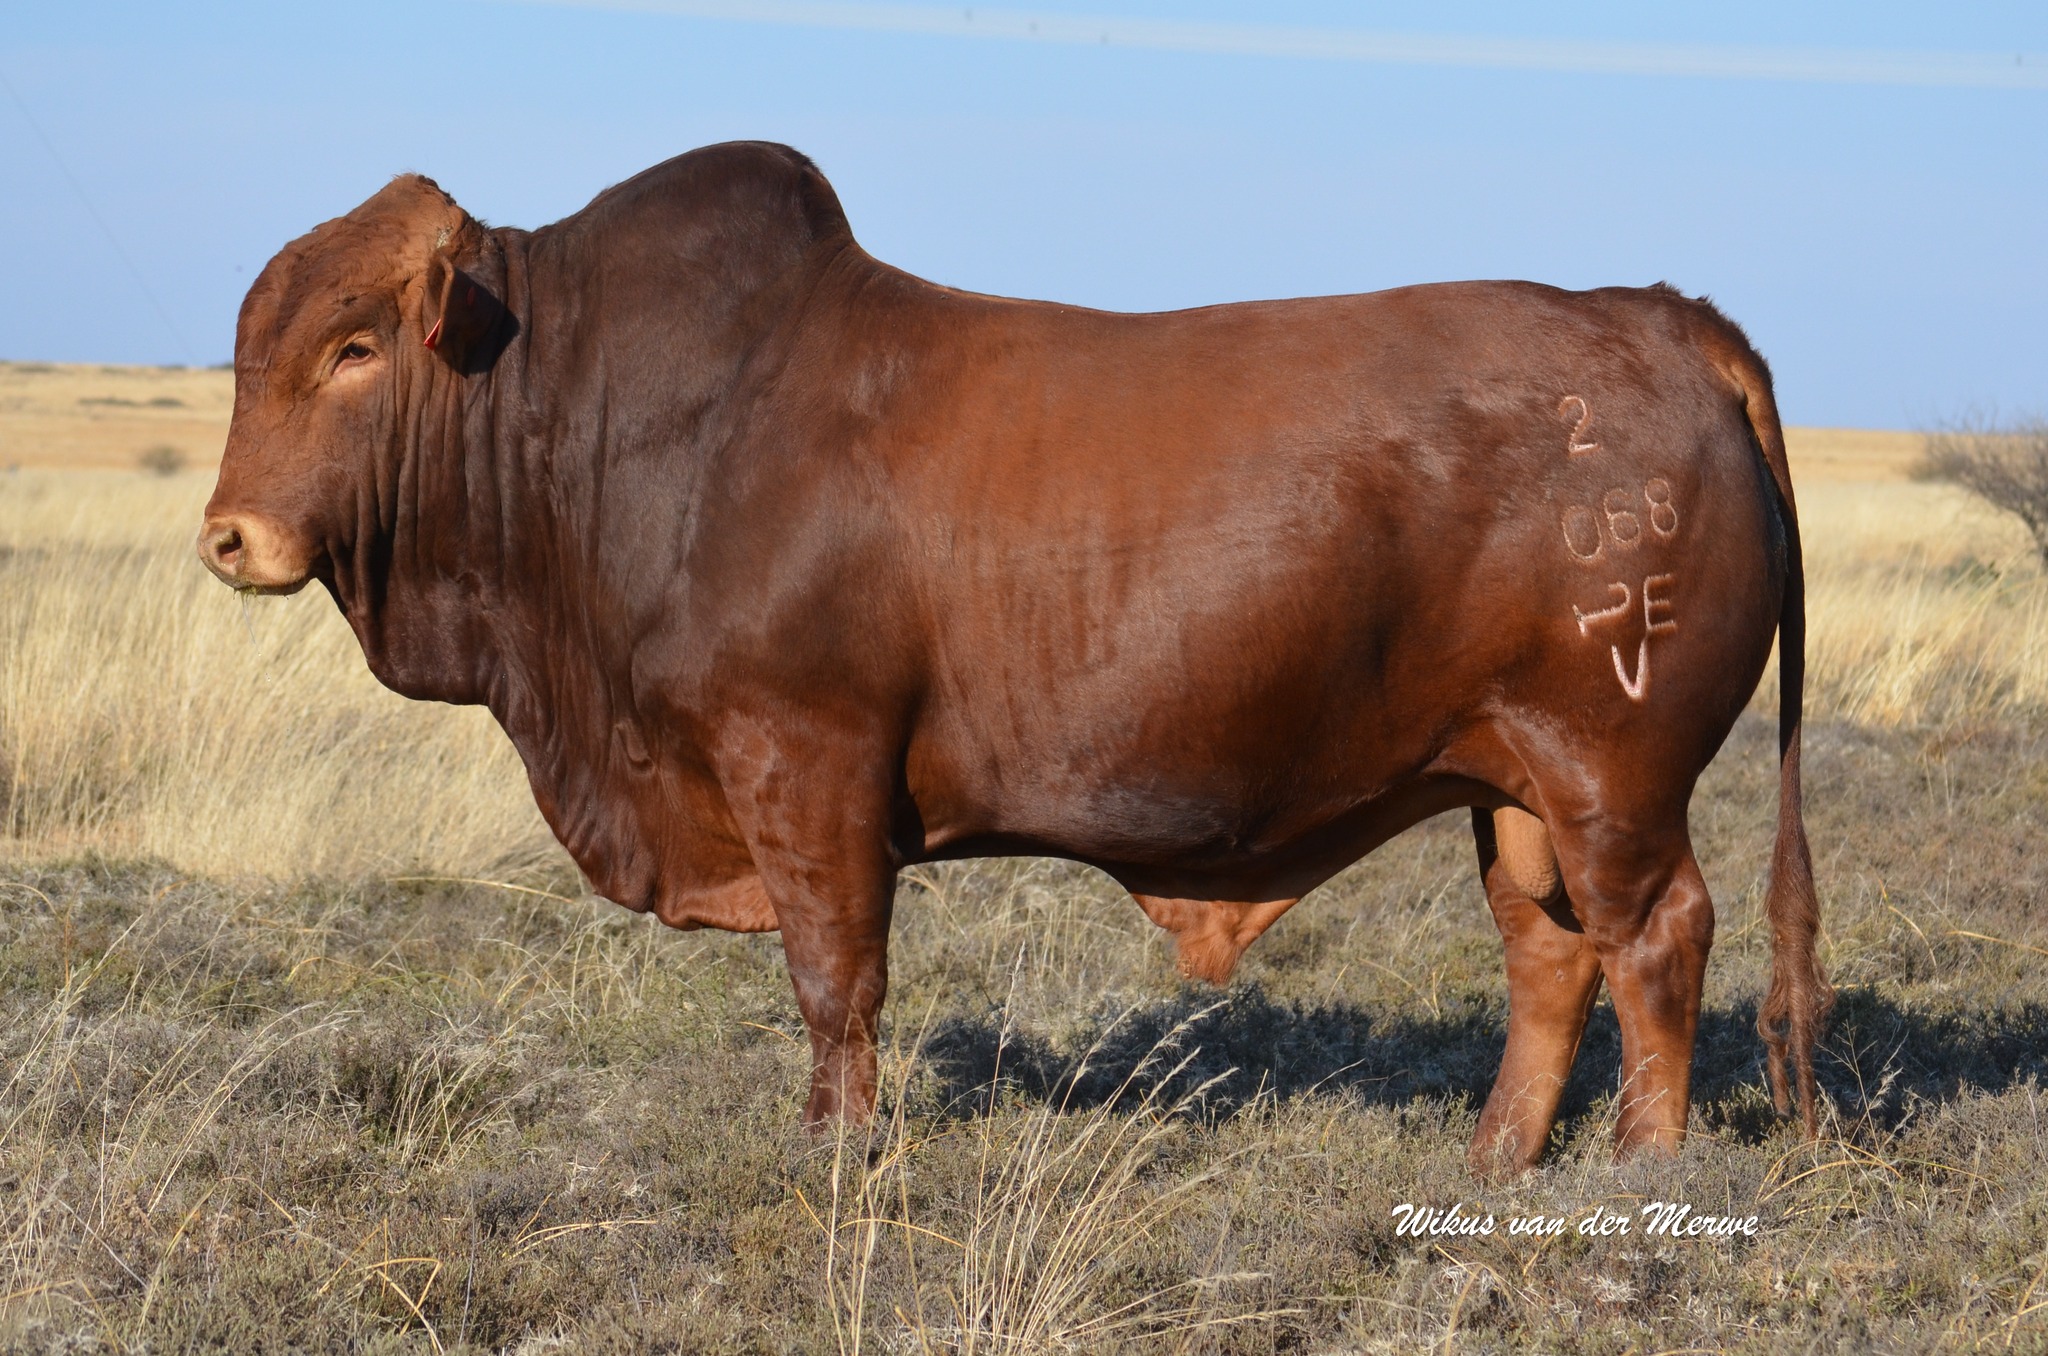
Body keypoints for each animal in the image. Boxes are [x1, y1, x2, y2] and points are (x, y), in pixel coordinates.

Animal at [198, 141, 1830, 1174]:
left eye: (354, 350)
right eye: (246, 346)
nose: (230, 537)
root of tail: (1663, 321)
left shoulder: (807, 764)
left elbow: (835, 978)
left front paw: (833, 1150)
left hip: (1608, 766)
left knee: (1656, 938)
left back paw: (1638, 1169)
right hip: (1509, 780)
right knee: (1550, 954)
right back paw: (1495, 1159)